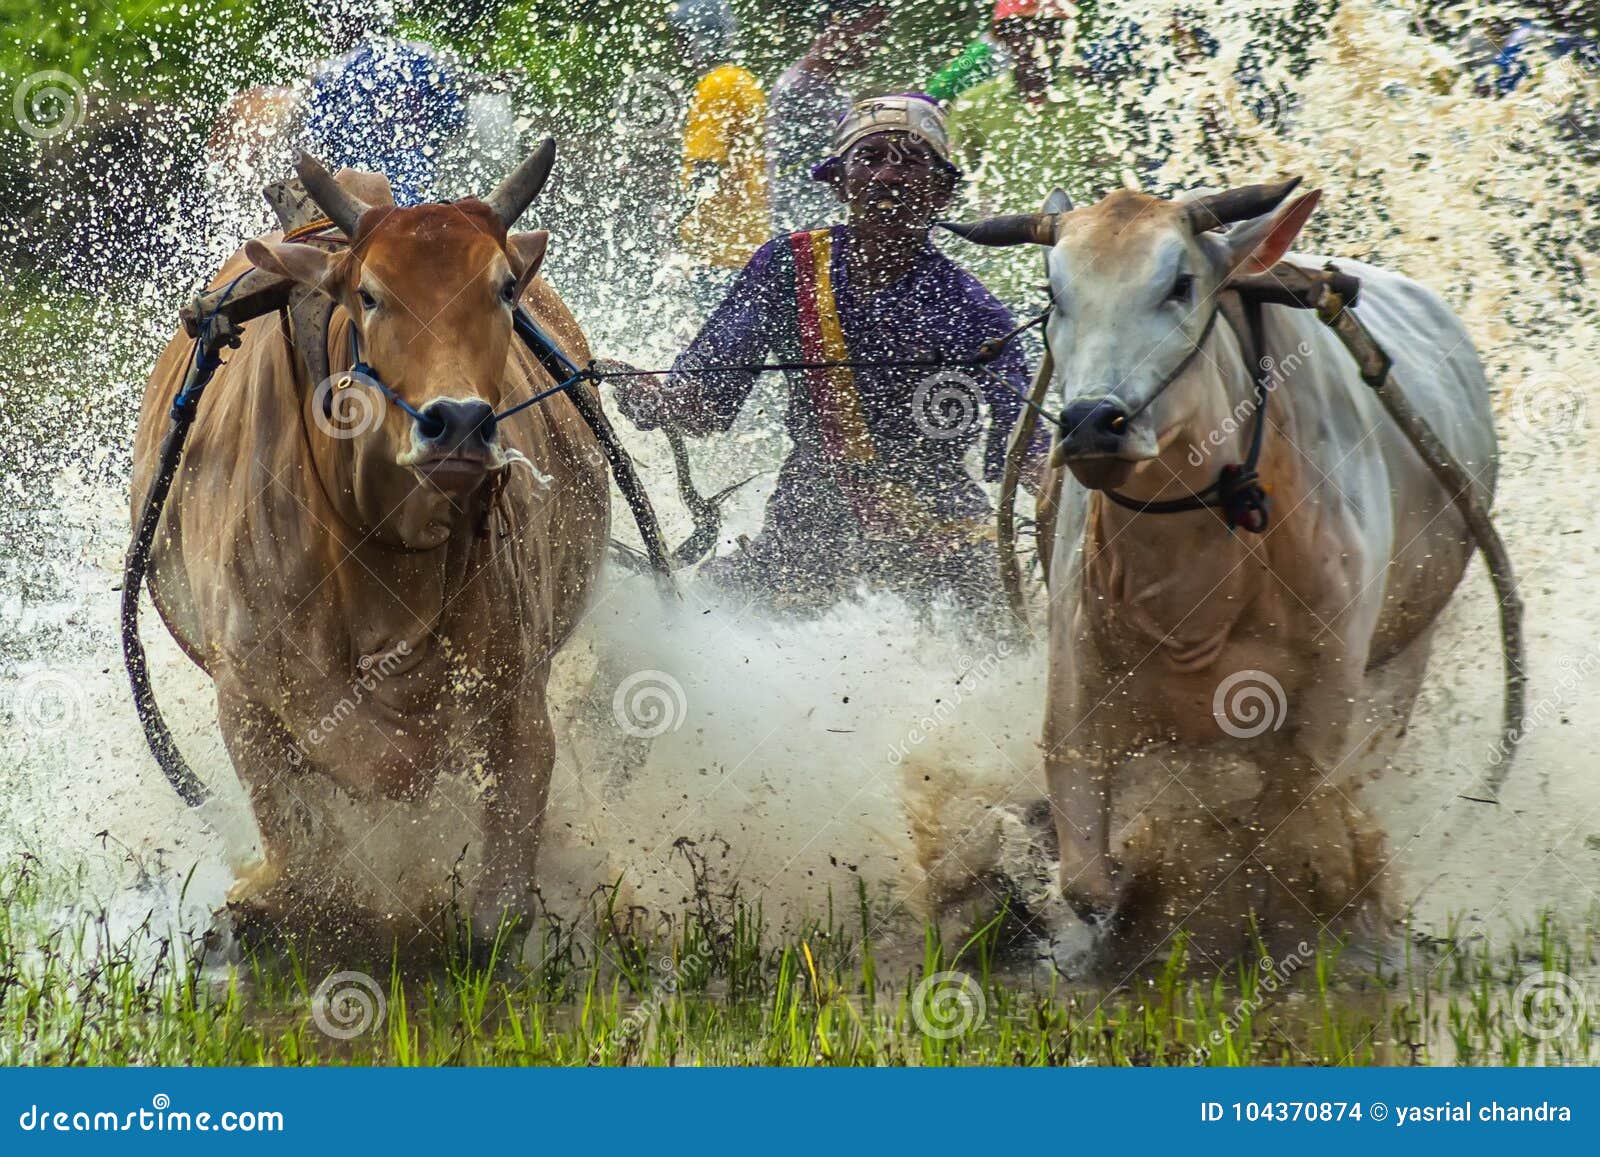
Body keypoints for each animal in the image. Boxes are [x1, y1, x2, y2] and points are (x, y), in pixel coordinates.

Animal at [131, 145, 610, 948]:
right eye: (370, 294)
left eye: (504, 287)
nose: (459, 423)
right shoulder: (247, 700)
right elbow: (302, 862)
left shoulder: (518, 703)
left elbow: (497, 913)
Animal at [947, 181, 1496, 958]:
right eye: (1055, 293)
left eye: (1179, 283)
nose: (1091, 421)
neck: (1193, 588)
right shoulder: (1075, 711)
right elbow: (1088, 883)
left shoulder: (1322, 717)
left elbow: (1276, 847)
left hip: (1405, 661)